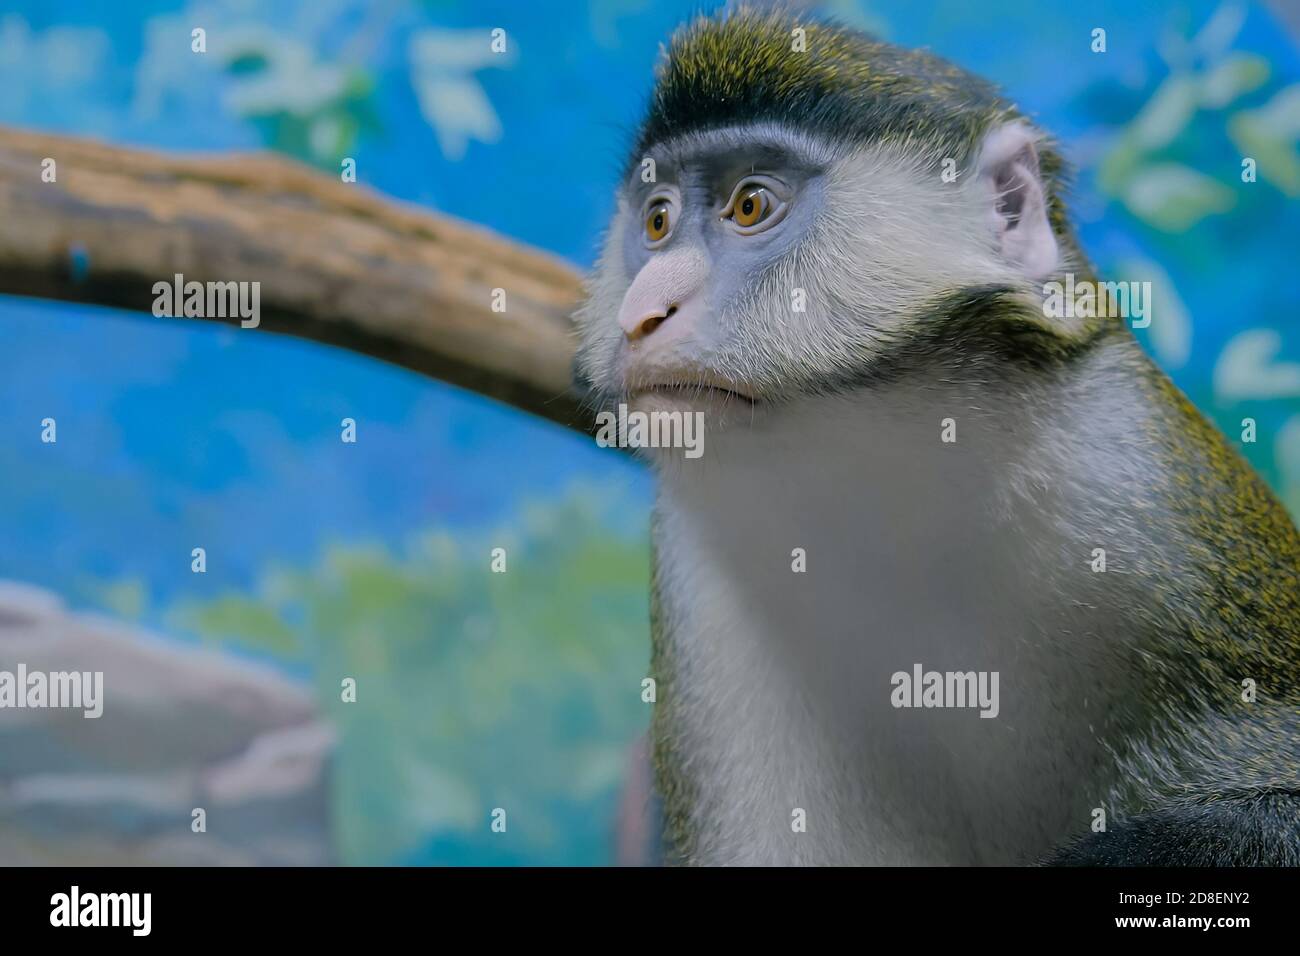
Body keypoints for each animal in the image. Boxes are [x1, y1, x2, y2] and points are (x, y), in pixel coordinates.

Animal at [574, 7, 1300, 866]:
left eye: (749, 205)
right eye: (655, 221)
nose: (640, 314)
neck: (893, 495)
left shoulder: (1139, 481)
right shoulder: (698, 590)